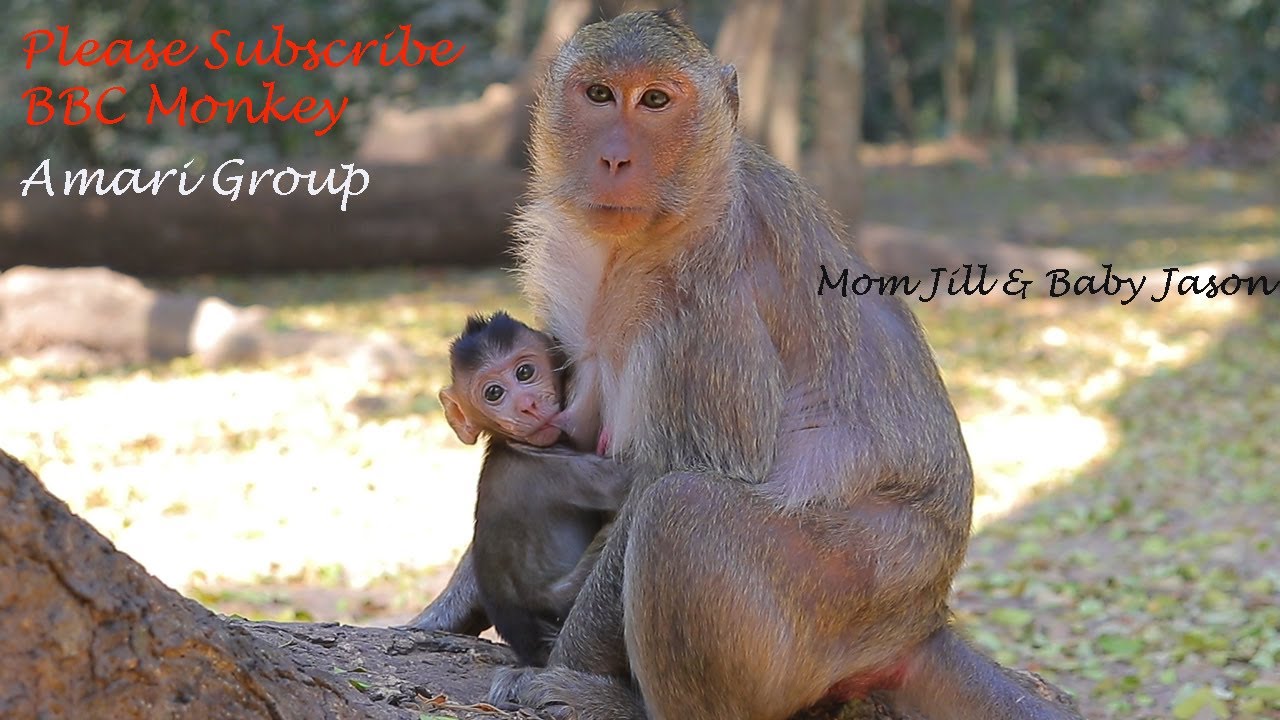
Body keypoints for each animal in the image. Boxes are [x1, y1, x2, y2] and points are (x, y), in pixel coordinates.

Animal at [468, 10, 1081, 720]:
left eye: (655, 101)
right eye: (599, 94)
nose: (615, 158)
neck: (649, 238)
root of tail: (918, 621)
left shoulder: (709, 299)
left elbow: (673, 474)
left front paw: (557, 668)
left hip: (830, 594)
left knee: (682, 509)